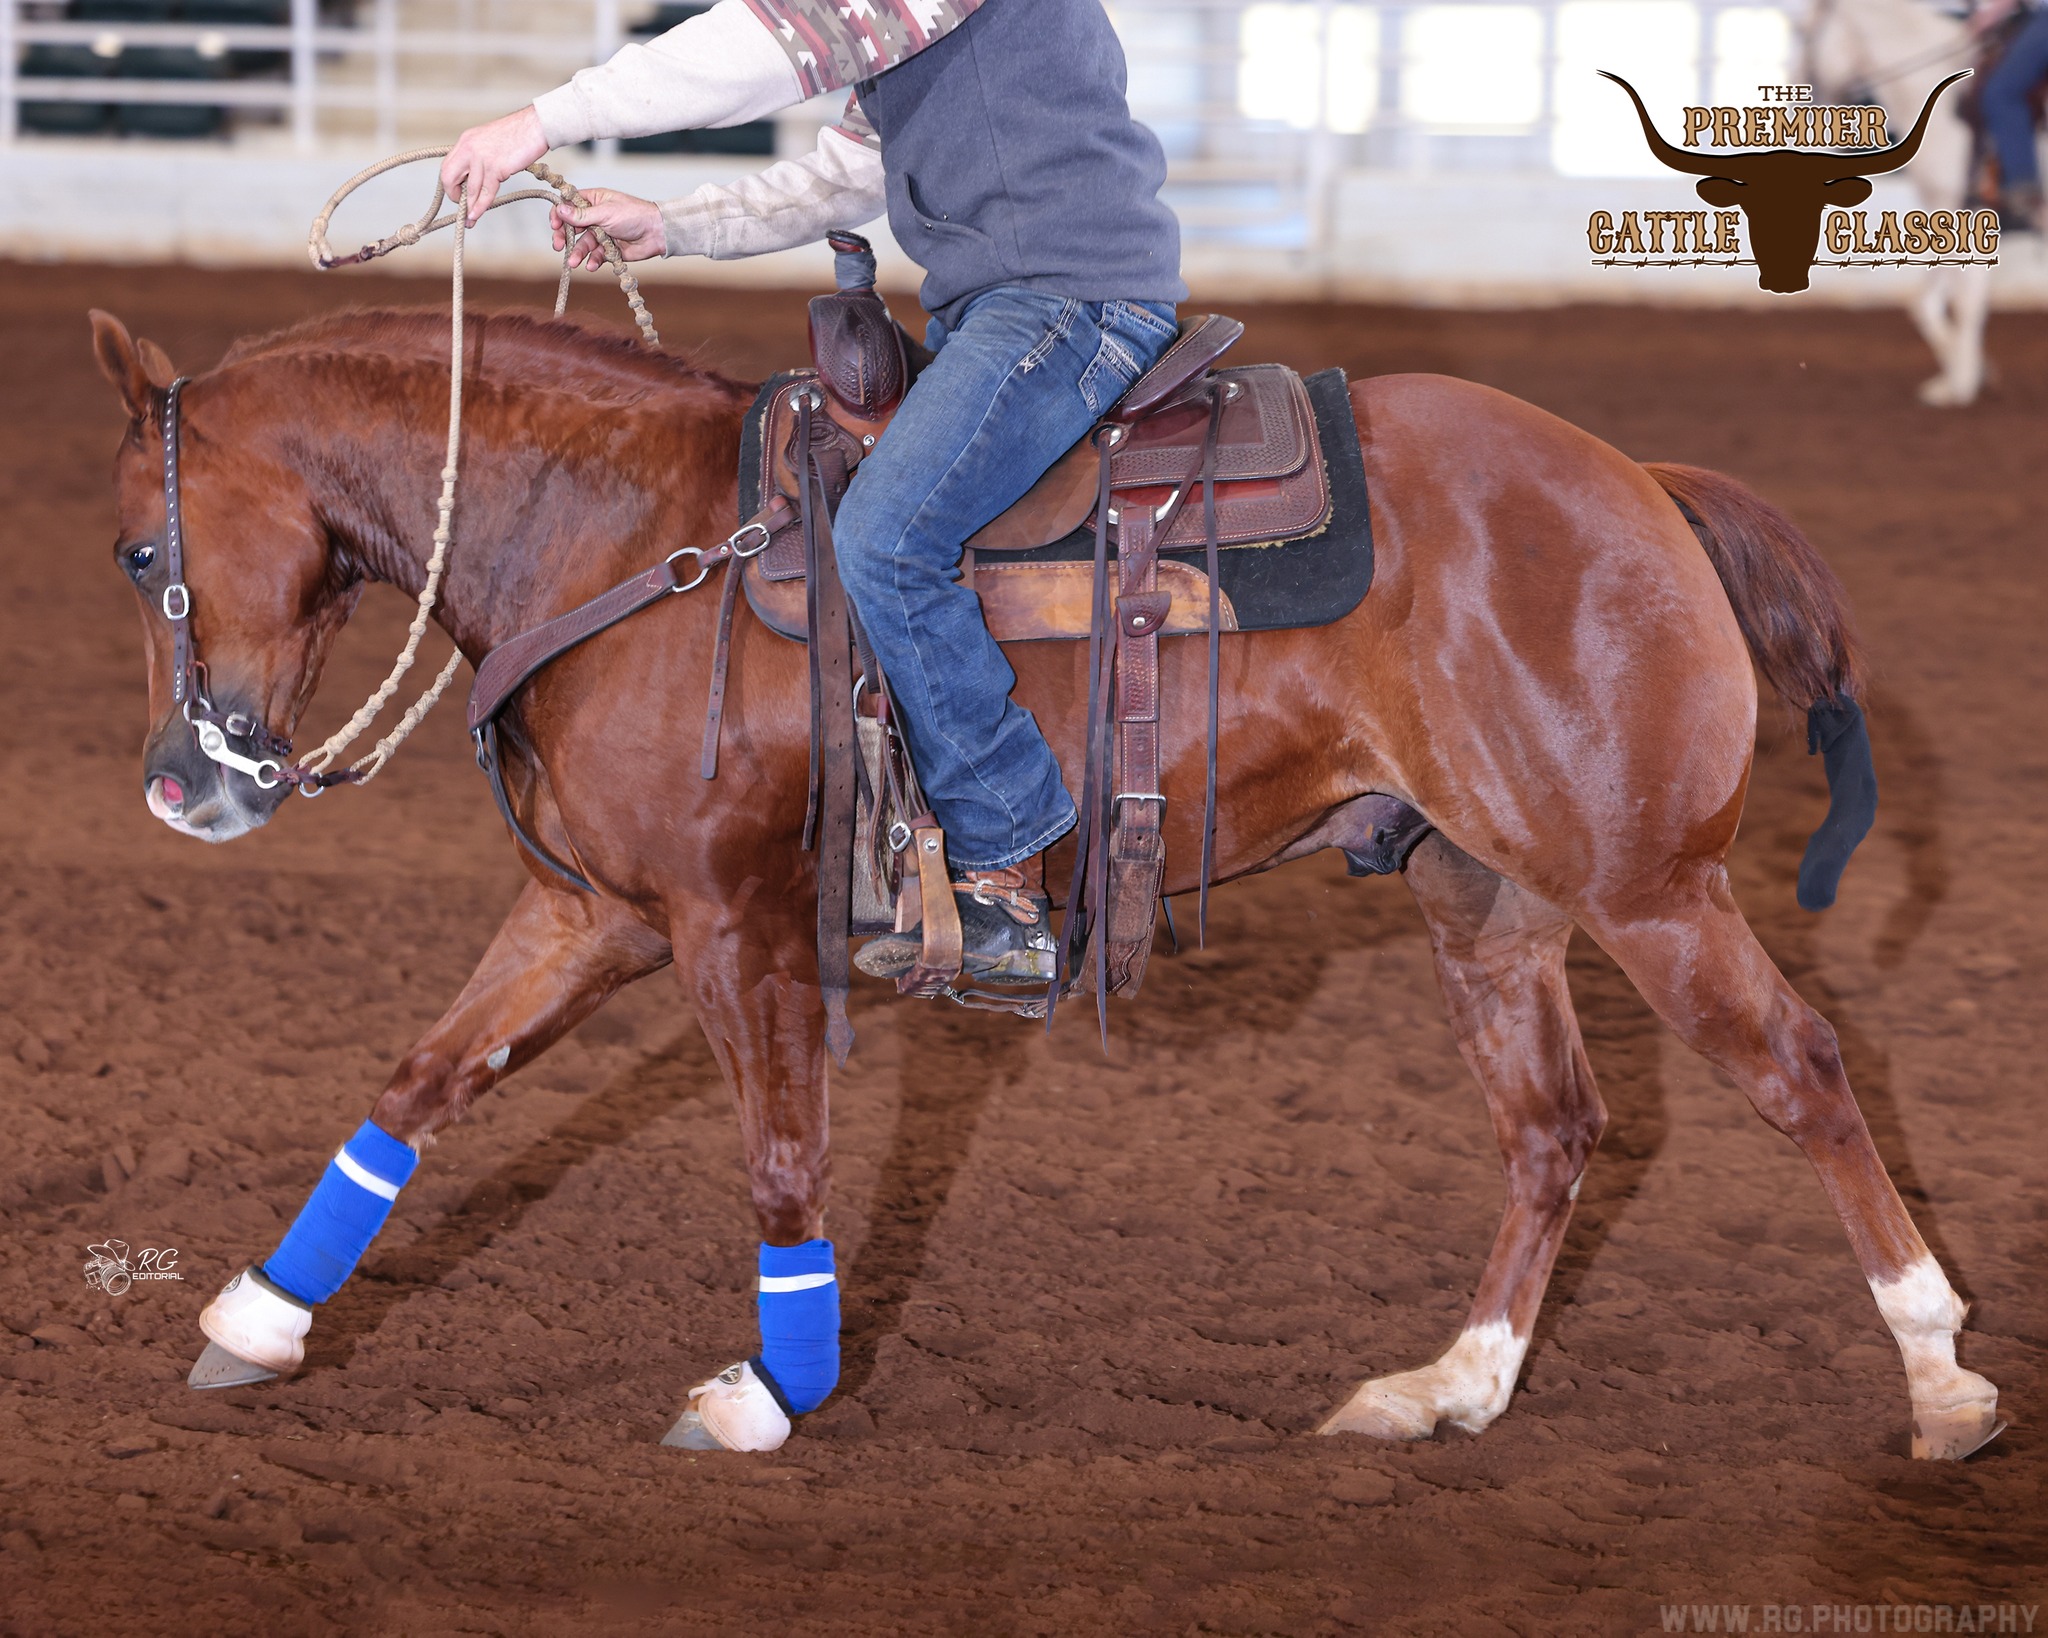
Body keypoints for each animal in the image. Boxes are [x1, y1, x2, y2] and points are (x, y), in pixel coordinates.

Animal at [88, 301, 2002, 1460]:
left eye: (132, 544)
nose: (184, 784)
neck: (628, 536)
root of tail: (1642, 486)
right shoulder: (597, 911)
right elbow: (423, 1078)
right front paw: (257, 1319)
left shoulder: (730, 923)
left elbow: (778, 1154)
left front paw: (772, 1389)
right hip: (1486, 901)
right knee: (1554, 1127)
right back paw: (1443, 1385)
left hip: (1649, 885)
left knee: (1801, 1070)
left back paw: (1941, 1372)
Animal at [1806, 0, 1993, 407]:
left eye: (1805, 34)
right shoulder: (1945, 214)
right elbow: (1925, 301)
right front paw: (1965, 373)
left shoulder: (1966, 209)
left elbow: (1966, 297)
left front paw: (1964, 381)